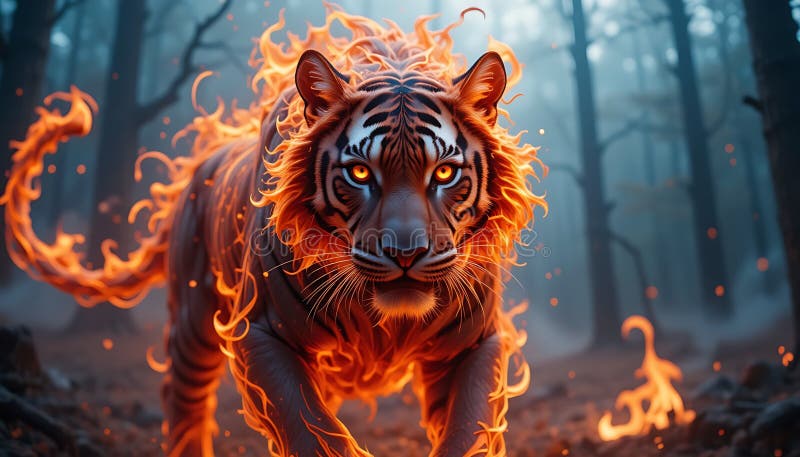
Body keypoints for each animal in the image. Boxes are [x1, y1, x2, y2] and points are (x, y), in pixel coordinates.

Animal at [1, 7, 547, 457]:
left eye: (444, 174)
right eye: (361, 173)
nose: (406, 253)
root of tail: (199, 164)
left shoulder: (475, 345)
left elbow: (470, 432)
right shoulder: (258, 332)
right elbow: (310, 432)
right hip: (193, 322)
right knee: (182, 399)